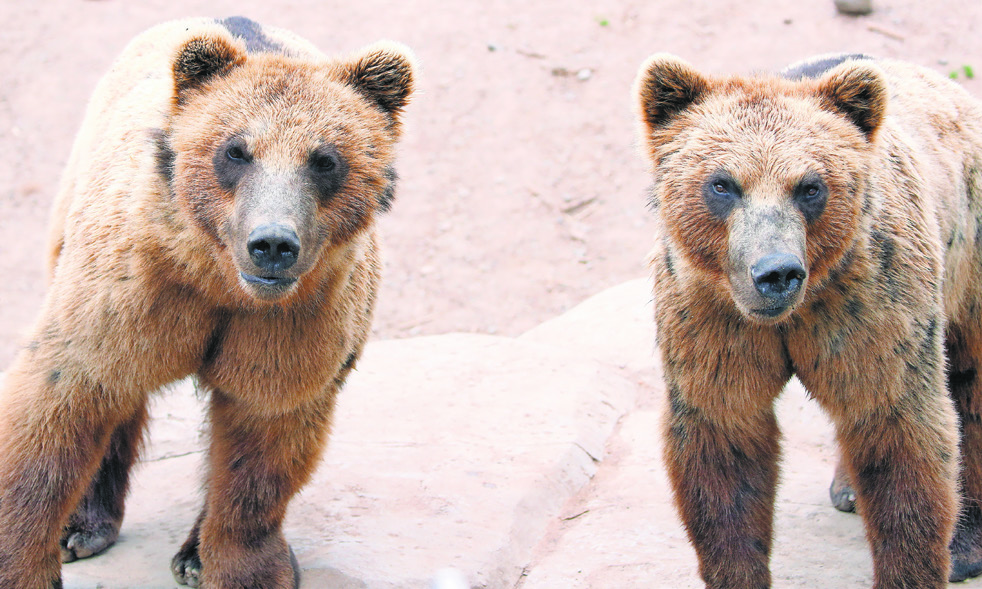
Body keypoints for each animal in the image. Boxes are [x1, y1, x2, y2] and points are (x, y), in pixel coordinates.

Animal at [0, 16, 414, 589]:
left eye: (325, 160)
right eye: (236, 150)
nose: (272, 244)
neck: (217, 281)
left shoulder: (297, 323)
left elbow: (261, 446)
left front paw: (241, 567)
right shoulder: (130, 289)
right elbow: (64, 399)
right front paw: (31, 555)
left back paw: (190, 553)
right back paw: (83, 527)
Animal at [634, 52, 982, 588]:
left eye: (810, 187)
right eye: (722, 184)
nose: (776, 272)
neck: (793, 315)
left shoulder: (872, 303)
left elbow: (898, 428)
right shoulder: (710, 319)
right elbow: (726, 445)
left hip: (966, 252)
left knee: (970, 380)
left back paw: (966, 542)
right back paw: (848, 487)